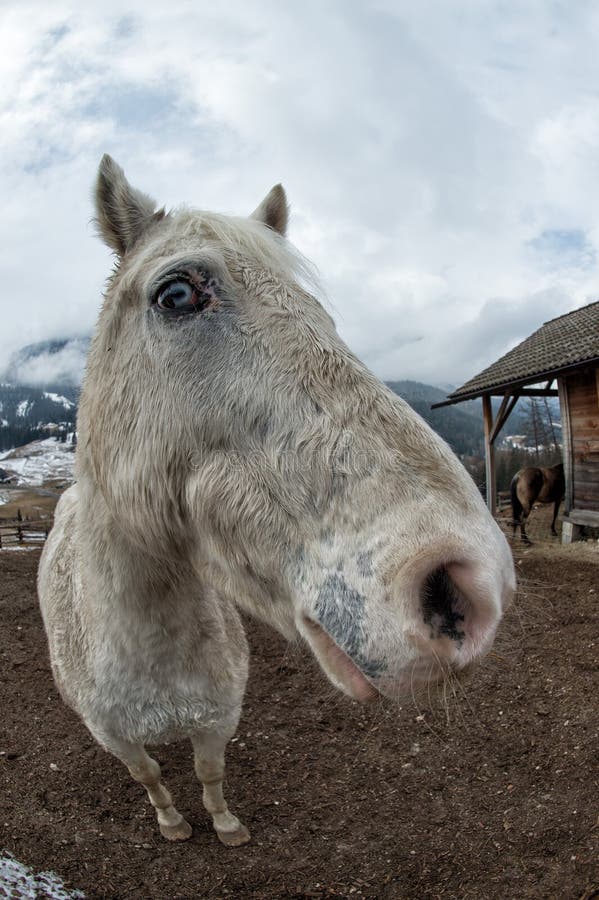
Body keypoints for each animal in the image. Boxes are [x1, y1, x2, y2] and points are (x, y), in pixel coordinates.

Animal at [38, 155, 515, 847]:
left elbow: (209, 773)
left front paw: (225, 825)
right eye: (176, 295)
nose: (467, 584)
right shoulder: (116, 738)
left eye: (319, 311)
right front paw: (174, 825)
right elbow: (152, 776)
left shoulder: (218, 719)